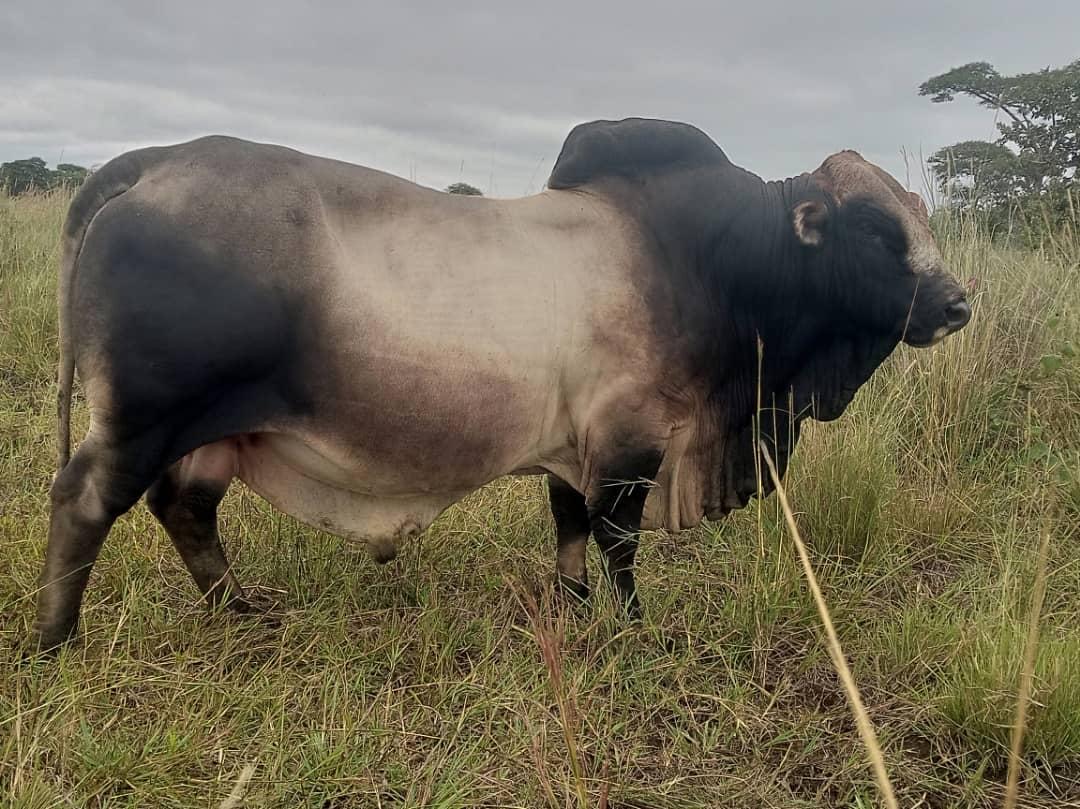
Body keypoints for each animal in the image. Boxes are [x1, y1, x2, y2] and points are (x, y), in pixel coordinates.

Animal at [32, 118, 971, 651]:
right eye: (877, 230)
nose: (957, 302)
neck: (717, 264)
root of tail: (157, 163)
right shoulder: (631, 439)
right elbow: (617, 540)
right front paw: (637, 631)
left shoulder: (574, 446)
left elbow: (569, 532)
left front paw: (573, 608)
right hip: (143, 417)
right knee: (86, 502)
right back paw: (56, 640)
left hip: (209, 431)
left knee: (185, 509)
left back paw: (241, 611)